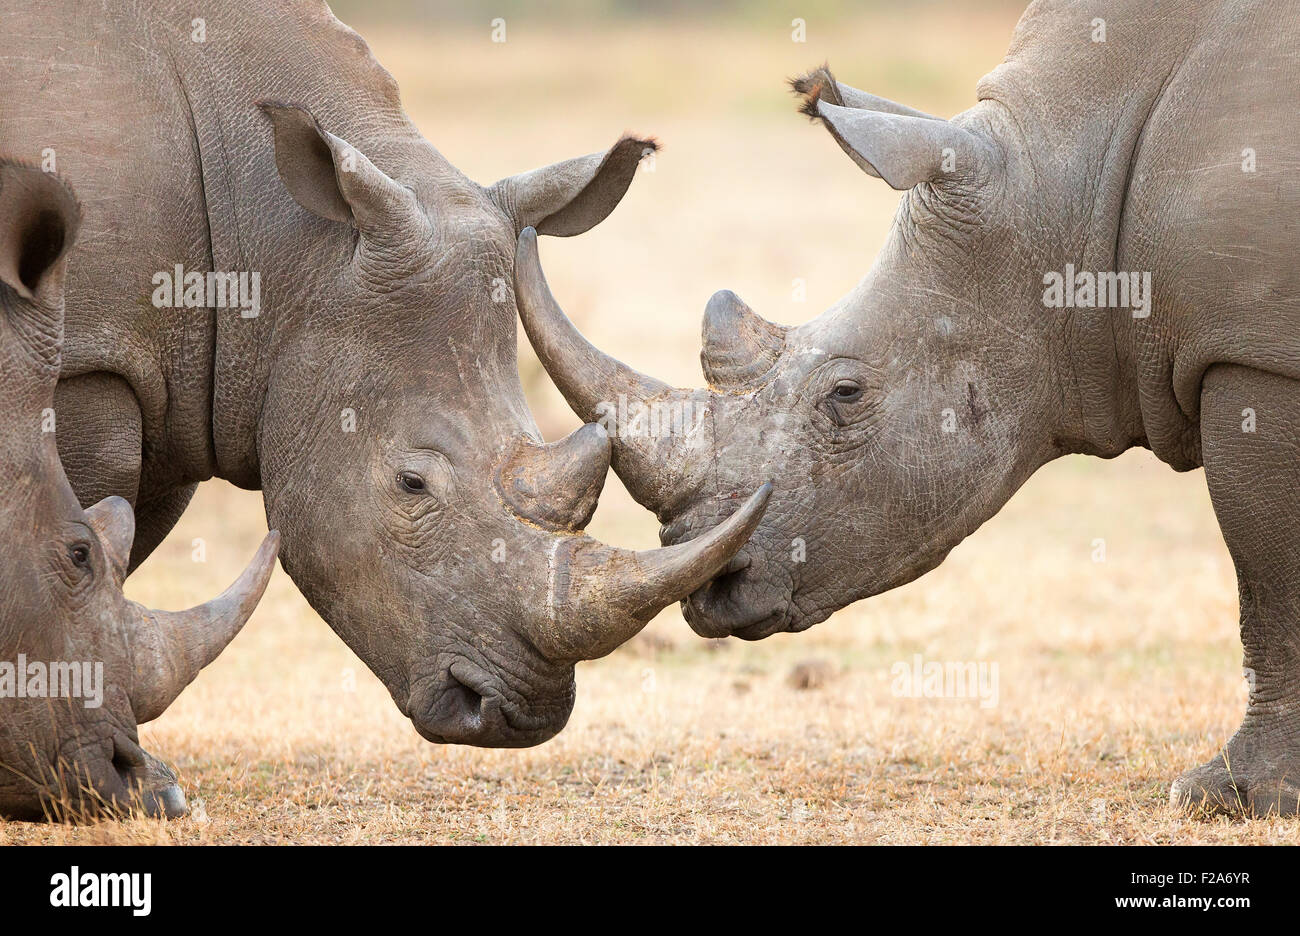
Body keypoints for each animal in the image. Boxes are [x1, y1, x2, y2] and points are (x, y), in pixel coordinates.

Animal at [0, 0, 768, 748]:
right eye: (411, 484)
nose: (518, 718)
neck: (281, 248)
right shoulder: (89, 362)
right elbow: (70, 537)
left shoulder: (173, 382)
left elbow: (115, 548)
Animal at [516, 0, 1300, 813]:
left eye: (845, 396)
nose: (710, 588)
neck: (1070, 178)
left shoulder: (1254, 355)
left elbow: (1268, 576)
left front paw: (1232, 796)